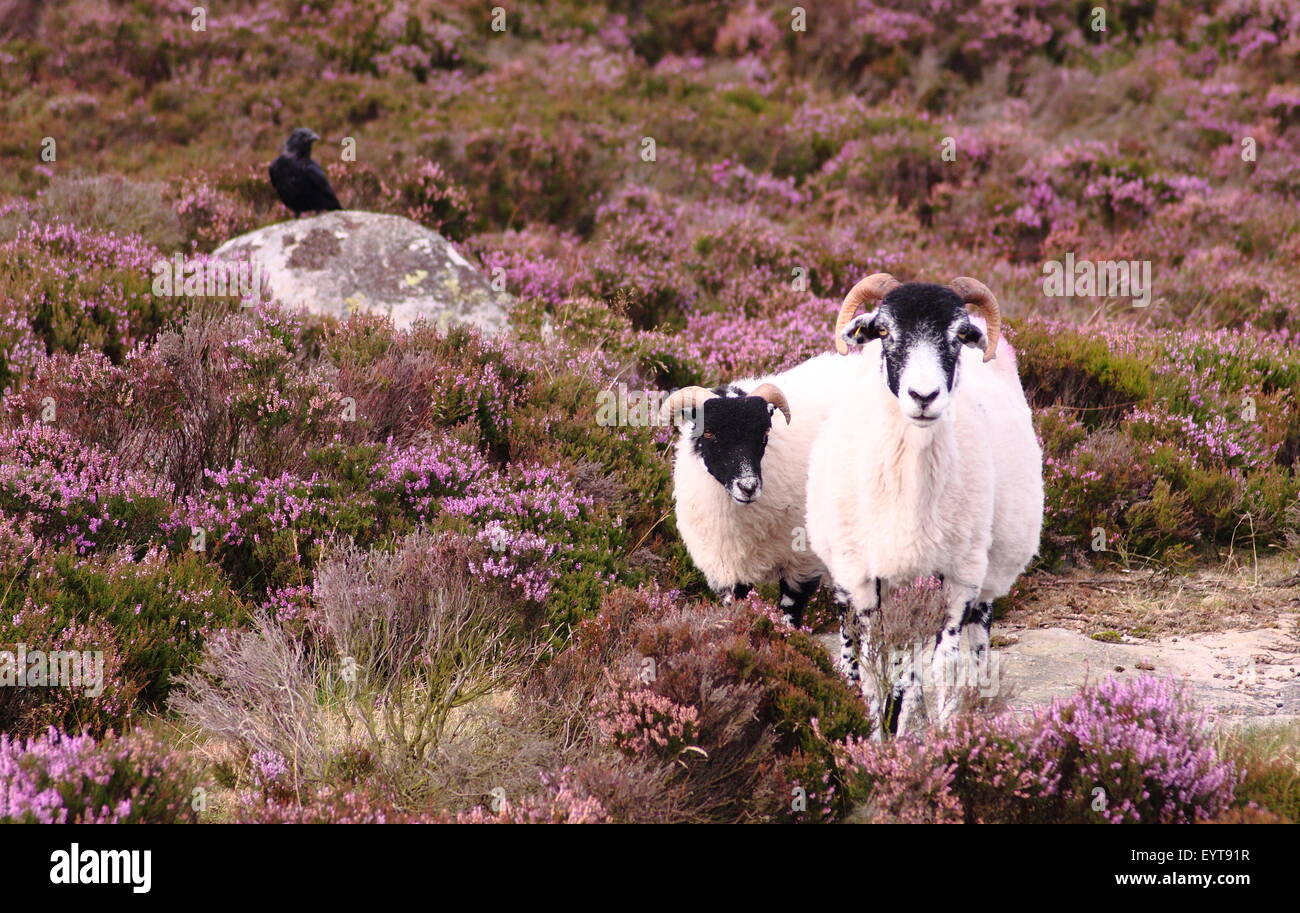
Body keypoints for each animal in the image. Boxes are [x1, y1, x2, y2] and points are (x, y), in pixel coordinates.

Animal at [661, 351, 866, 627]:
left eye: (764, 431)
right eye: (710, 433)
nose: (747, 487)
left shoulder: (802, 560)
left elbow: (790, 609)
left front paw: (788, 634)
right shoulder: (727, 566)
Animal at [805, 274, 1043, 732]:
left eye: (960, 335)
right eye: (883, 331)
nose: (923, 395)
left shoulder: (961, 575)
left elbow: (945, 666)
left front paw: (945, 735)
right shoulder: (866, 577)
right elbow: (876, 662)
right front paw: (876, 736)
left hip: (984, 578)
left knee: (971, 652)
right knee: (866, 652)